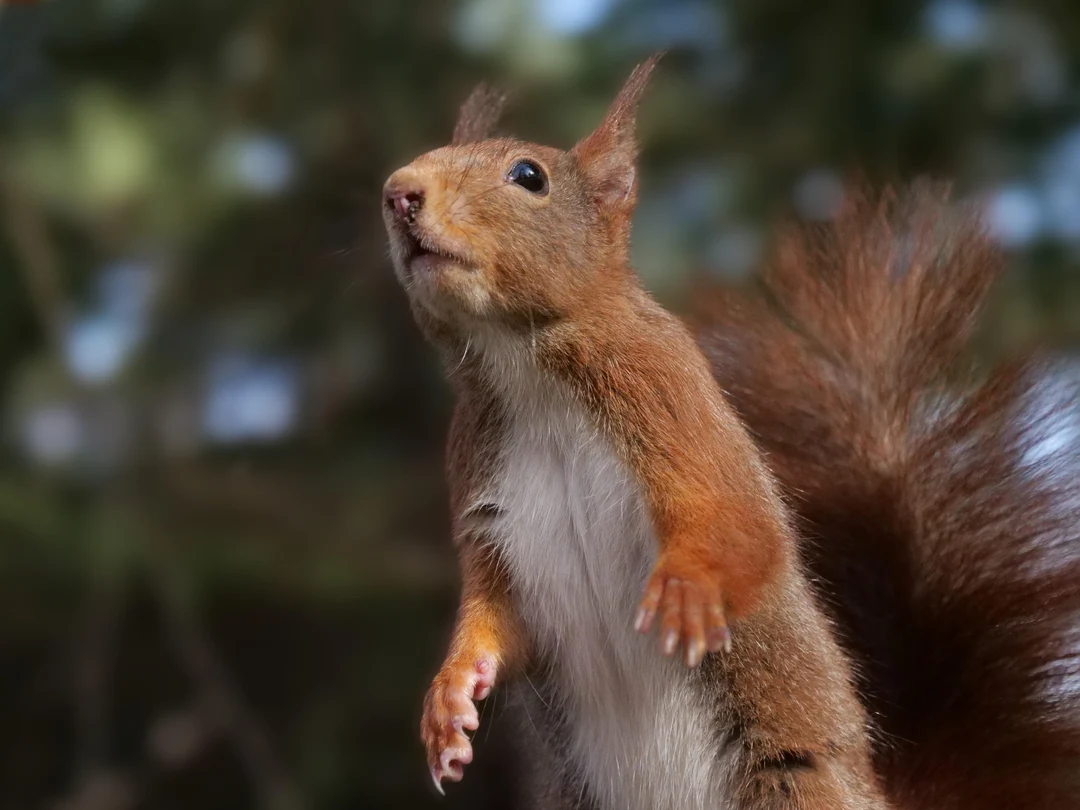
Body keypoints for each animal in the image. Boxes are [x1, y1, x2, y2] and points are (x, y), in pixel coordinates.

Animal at [381, 54, 1080, 810]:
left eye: (528, 176)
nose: (398, 193)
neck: (523, 366)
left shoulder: (677, 406)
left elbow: (740, 524)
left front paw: (687, 591)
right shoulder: (485, 503)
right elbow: (495, 616)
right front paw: (449, 697)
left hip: (795, 786)